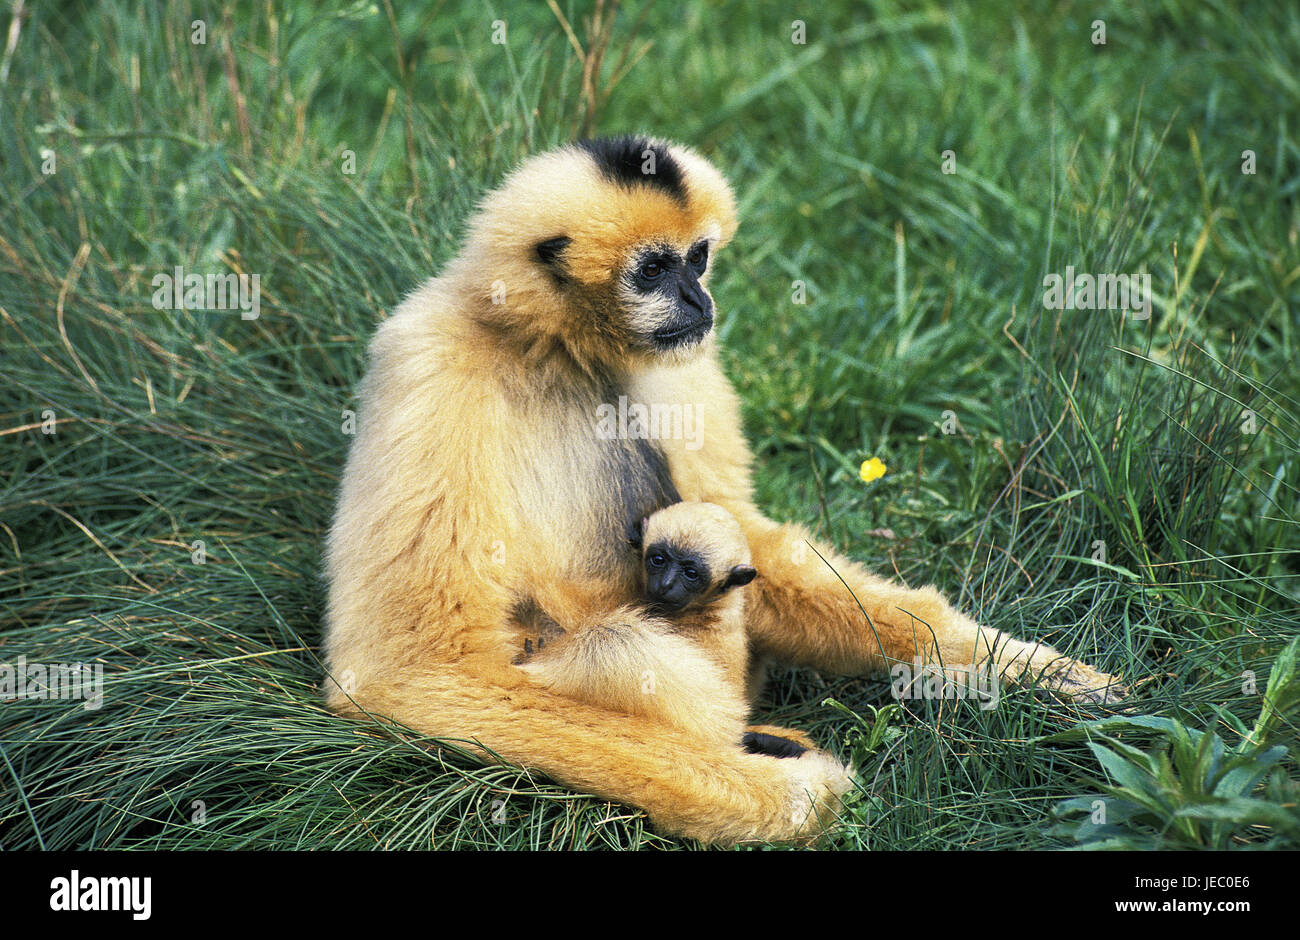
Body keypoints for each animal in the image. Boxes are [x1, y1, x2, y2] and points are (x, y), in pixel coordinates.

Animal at [324, 135, 1125, 846]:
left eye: (699, 257)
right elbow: (412, 670)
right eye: (653, 270)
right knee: (620, 642)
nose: (697, 295)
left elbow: (741, 539)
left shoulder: (686, 366)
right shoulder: (425, 361)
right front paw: (786, 797)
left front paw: (1022, 671)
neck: (559, 351)